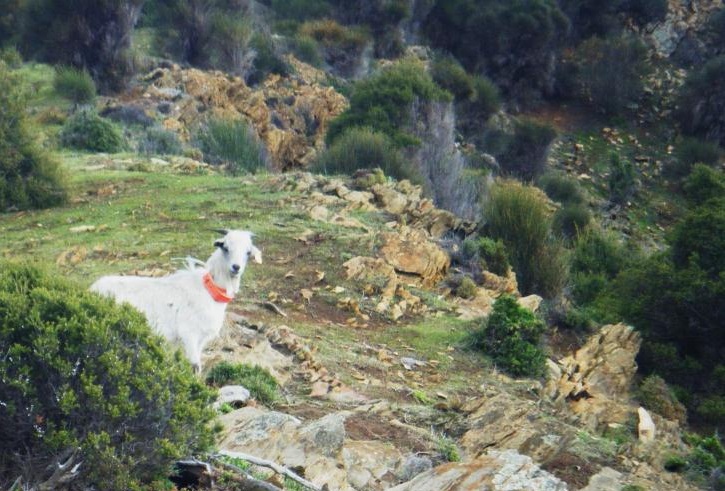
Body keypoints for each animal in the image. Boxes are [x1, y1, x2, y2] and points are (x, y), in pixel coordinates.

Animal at [91, 229, 261, 373]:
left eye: (248, 252)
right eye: (225, 247)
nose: (236, 267)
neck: (208, 290)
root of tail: (93, 289)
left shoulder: (200, 340)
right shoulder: (189, 334)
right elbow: (194, 366)